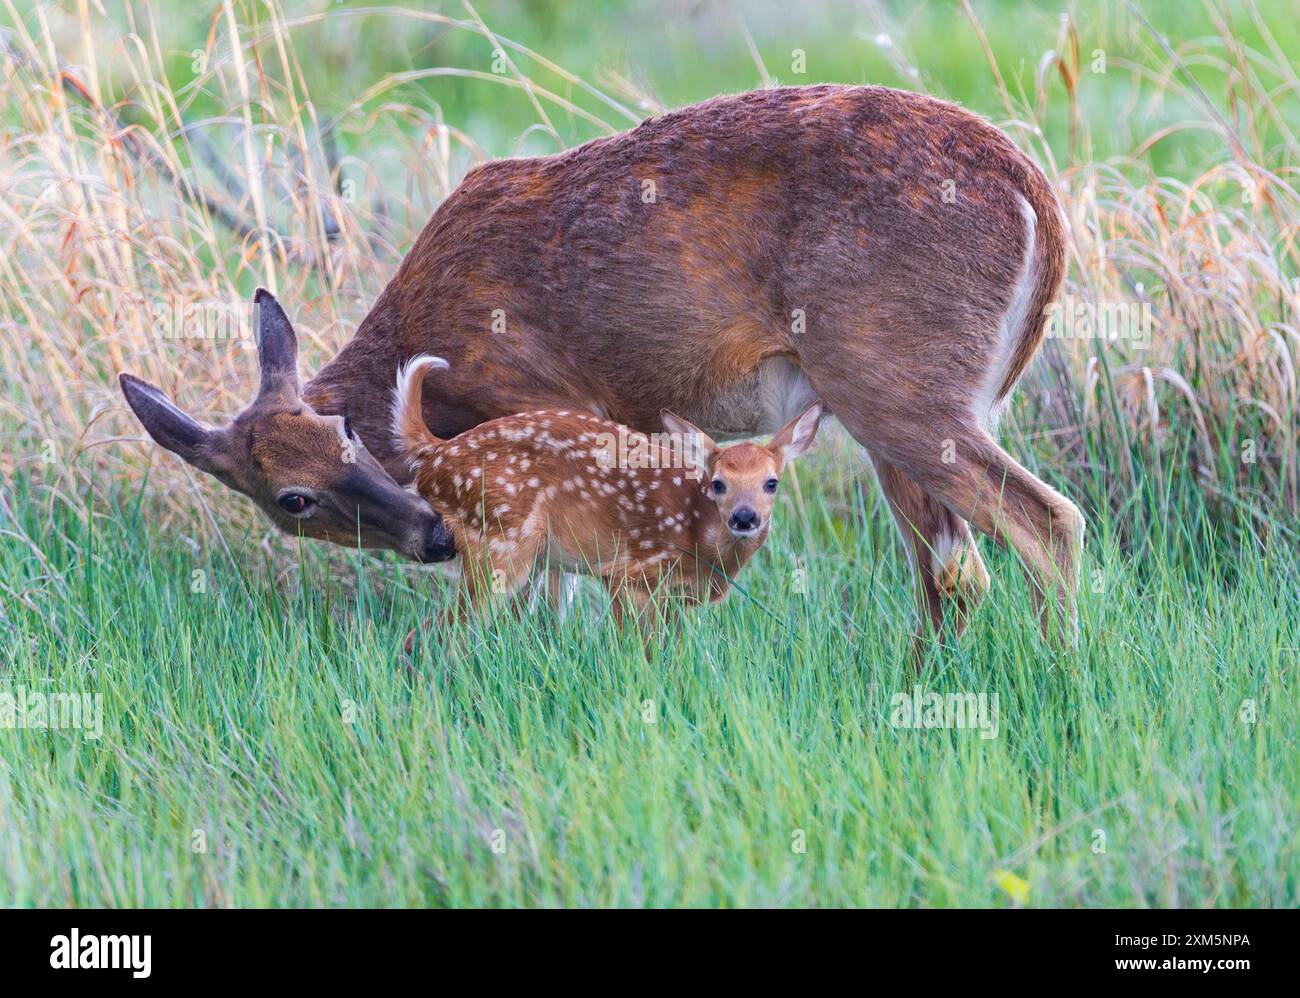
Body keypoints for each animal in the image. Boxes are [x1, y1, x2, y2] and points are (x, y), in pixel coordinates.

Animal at [390, 354, 823, 648]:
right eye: (718, 483)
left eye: (771, 483)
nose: (744, 517)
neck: (699, 533)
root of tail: (435, 453)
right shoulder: (630, 573)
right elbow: (641, 652)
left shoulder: (674, 600)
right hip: (499, 540)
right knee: (429, 637)